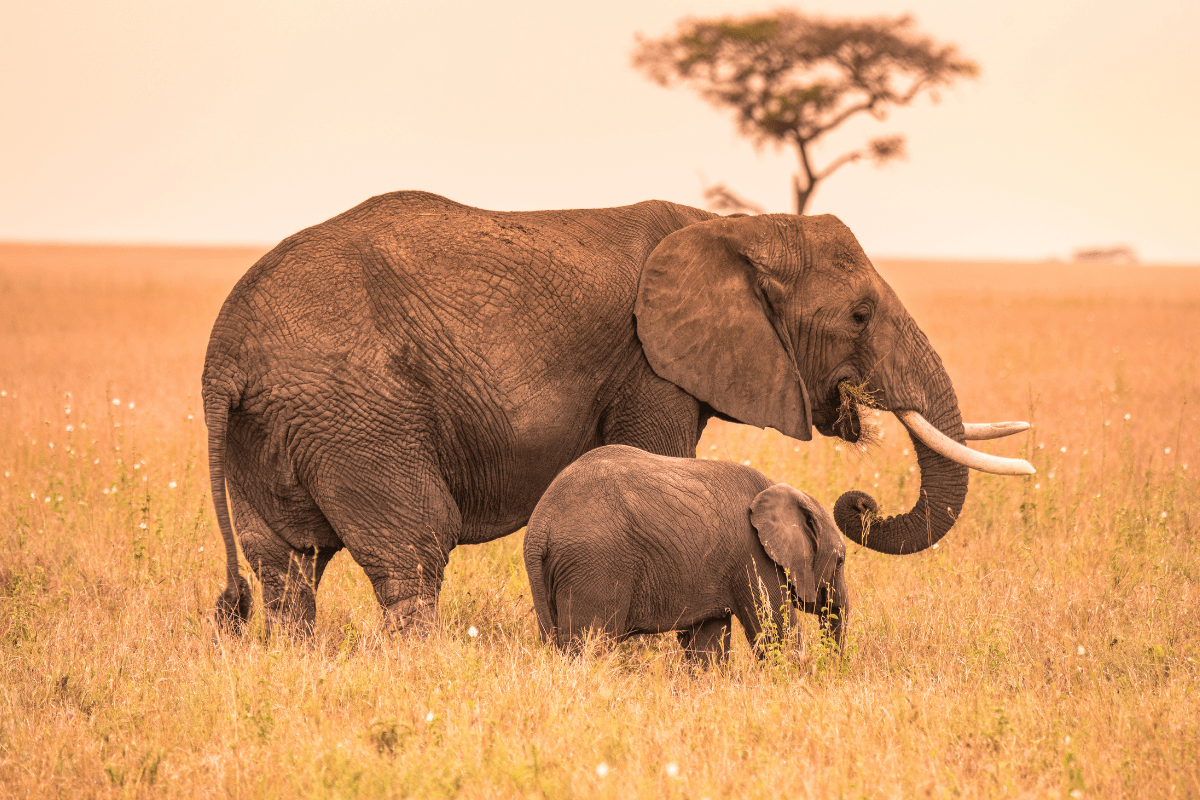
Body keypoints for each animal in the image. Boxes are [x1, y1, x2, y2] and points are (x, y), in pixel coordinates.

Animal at [202, 190, 1032, 635]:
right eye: (860, 314)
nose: (859, 502)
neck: (734, 225)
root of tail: (222, 357)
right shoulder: (646, 368)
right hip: (356, 406)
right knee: (413, 548)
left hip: (275, 425)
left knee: (286, 565)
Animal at [523, 445, 858, 663]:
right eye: (840, 560)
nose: (832, 667)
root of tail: (541, 524)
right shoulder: (754, 557)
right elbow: (776, 633)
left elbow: (706, 646)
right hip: (596, 564)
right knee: (591, 646)